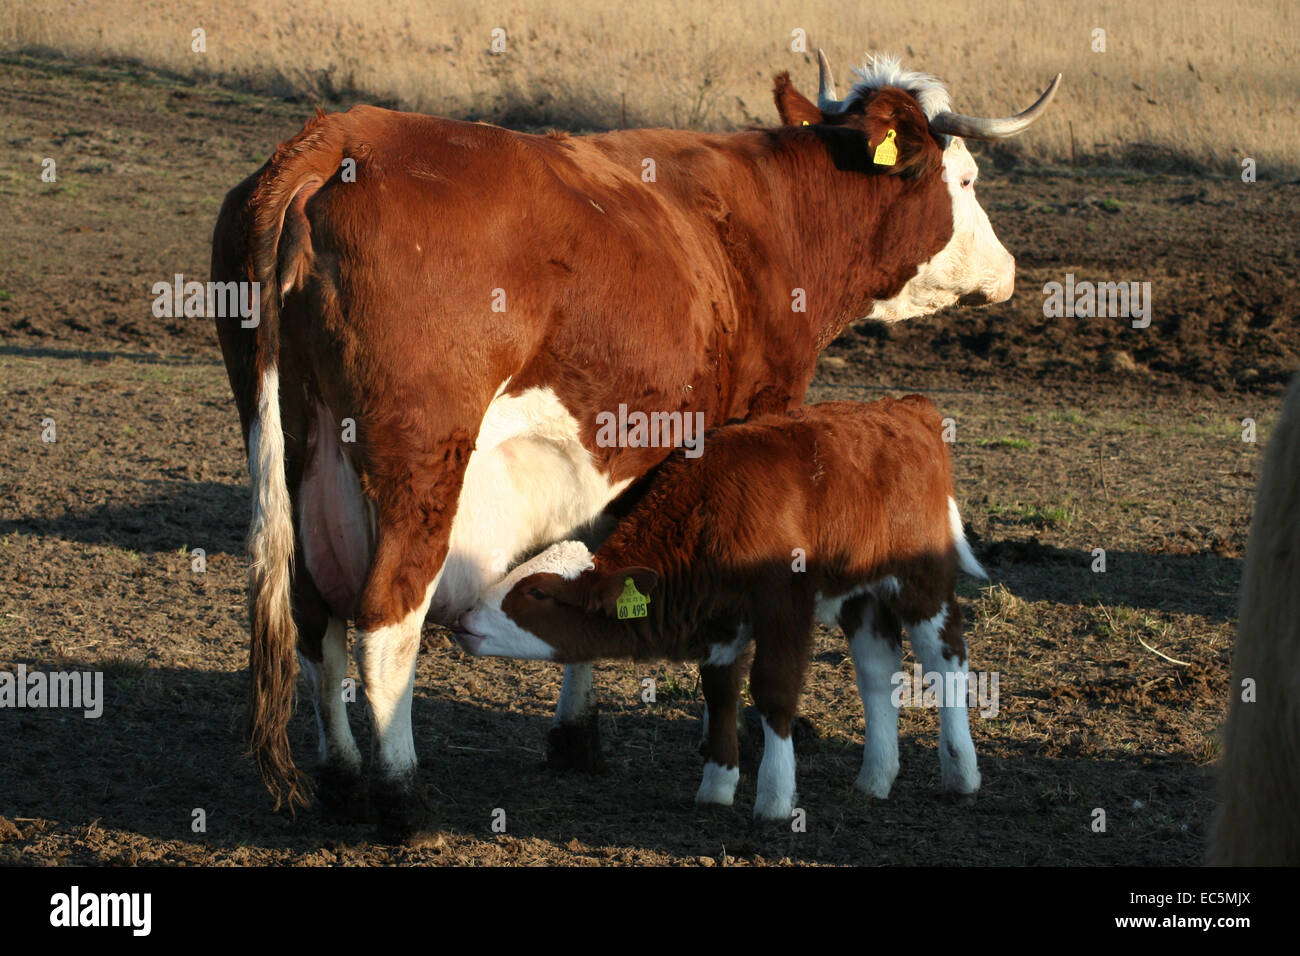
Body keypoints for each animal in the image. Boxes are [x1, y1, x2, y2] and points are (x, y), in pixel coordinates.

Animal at [455, 398, 989, 819]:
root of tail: (907, 406)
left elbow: (773, 689)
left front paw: (774, 798)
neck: (713, 513)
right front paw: (717, 785)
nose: (464, 620)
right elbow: (719, 691)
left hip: (922, 581)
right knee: (877, 669)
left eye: (538, 593)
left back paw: (961, 772)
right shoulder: (721, 620)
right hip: (862, 593)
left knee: (947, 658)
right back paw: (875, 778)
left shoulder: (783, 606)